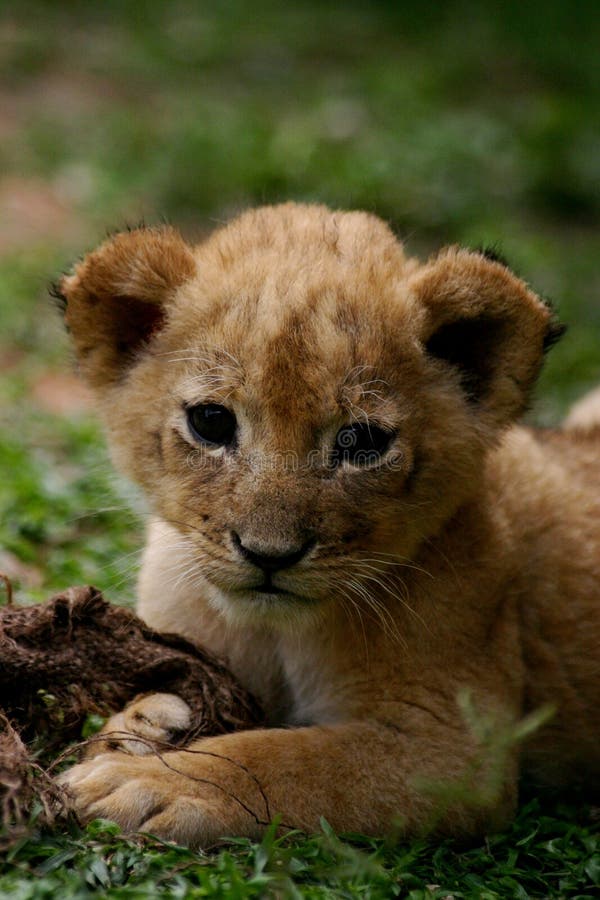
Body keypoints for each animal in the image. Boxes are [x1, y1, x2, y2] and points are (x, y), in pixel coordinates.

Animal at [56, 203, 600, 847]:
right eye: (211, 422)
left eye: (360, 441)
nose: (268, 554)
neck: (275, 633)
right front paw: (139, 727)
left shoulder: (459, 752)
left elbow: (287, 760)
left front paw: (145, 782)